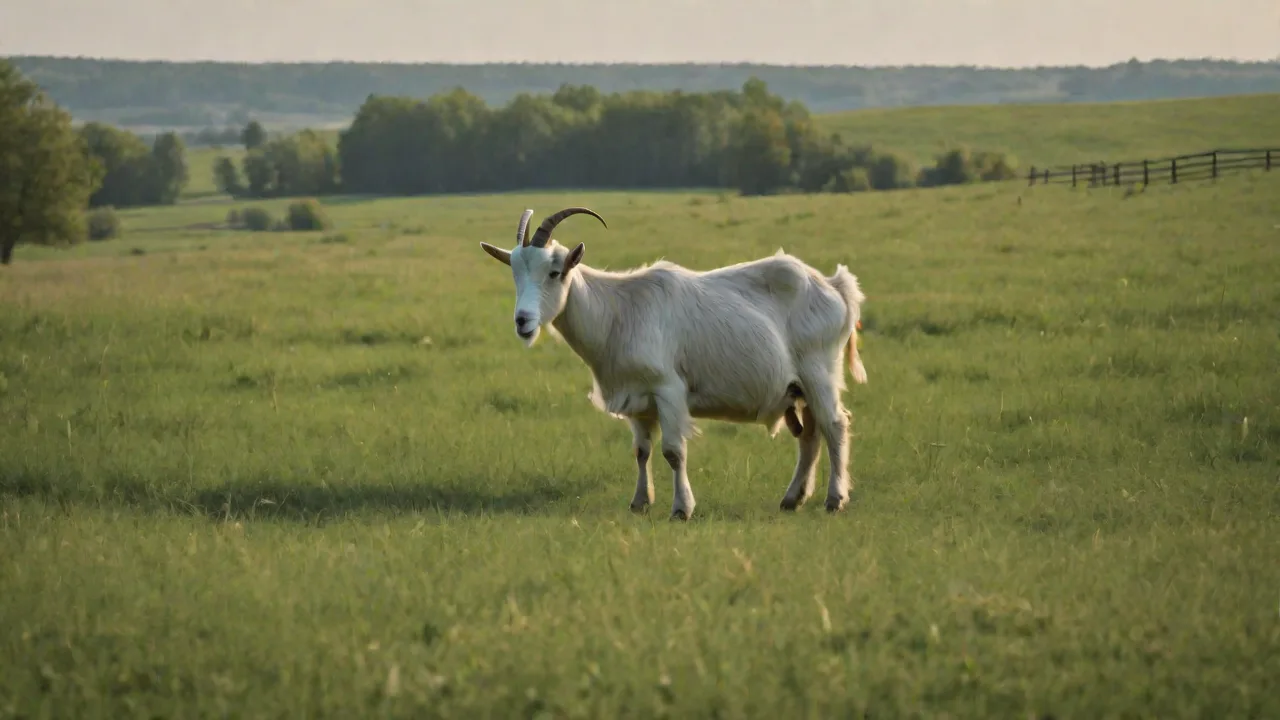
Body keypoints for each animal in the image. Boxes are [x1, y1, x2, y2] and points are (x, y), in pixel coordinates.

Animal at [479, 207, 868, 520]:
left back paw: (835, 500)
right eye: (515, 272)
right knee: (811, 436)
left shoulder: (667, 389)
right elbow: (641, 451)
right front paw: (640, 503)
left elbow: (673, 451)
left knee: (835, 425)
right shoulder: (636, 398)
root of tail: (836, 286)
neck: (618, 311)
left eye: (555, 272)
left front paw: (682, 509)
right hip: (798, 387)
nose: (523, 321)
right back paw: (792, 499)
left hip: (819, 372)